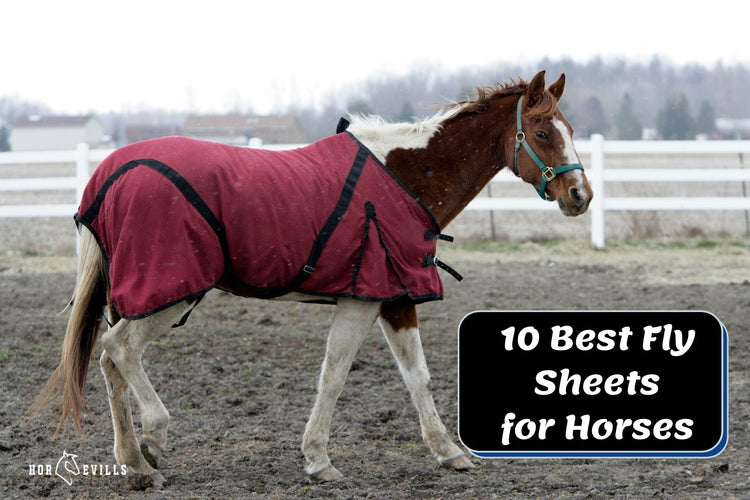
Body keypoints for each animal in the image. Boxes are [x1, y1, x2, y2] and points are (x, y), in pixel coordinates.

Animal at [28, 71, 592, 487]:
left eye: (569, 129)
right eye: (543, 132)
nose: (580, 196)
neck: (404, 177)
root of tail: (108, 176)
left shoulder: (393, 299)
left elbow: (416, 377)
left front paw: (448, 453)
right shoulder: (364, 300)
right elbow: (335, 374)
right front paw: (319, 459)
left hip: (142, 297)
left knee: (109, 360)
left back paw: (134, 463)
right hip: (168, 295)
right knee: (119, 349)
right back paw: (153, 438)